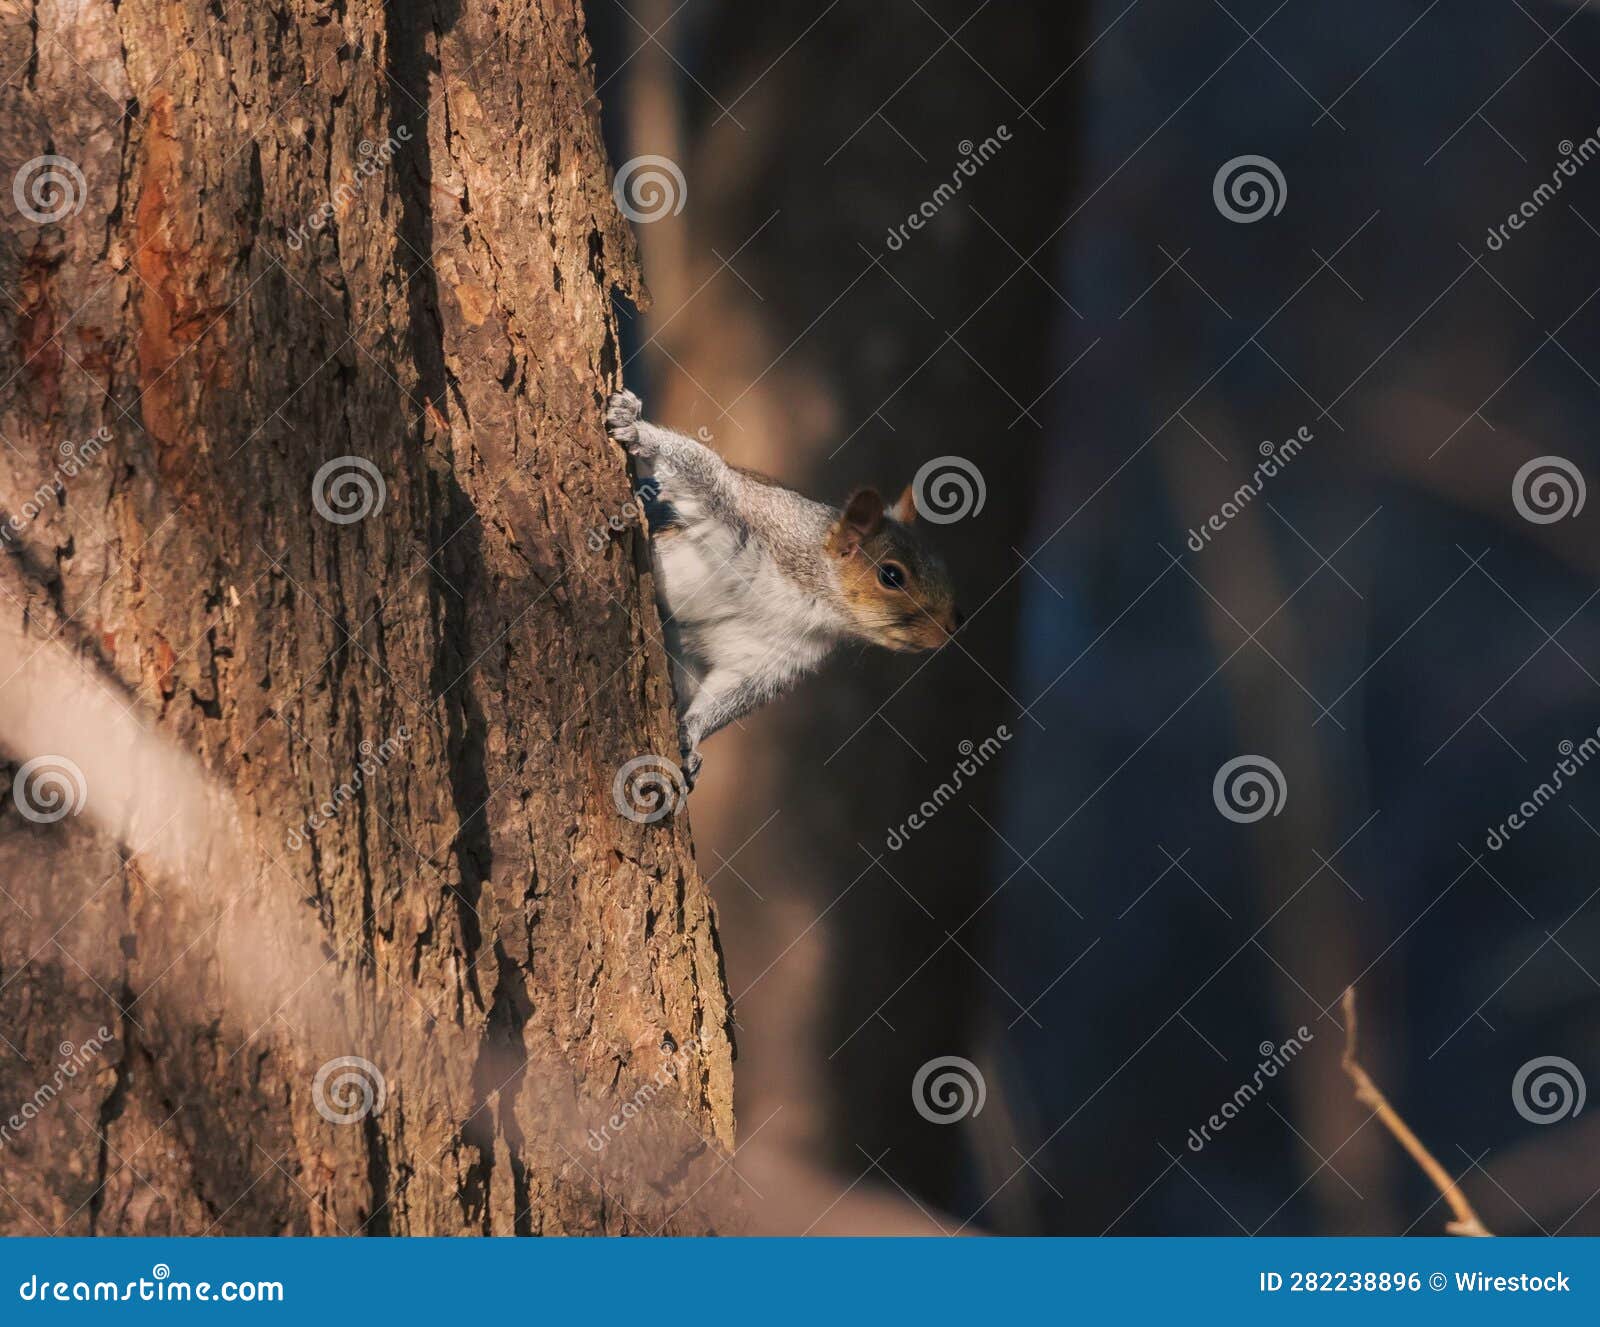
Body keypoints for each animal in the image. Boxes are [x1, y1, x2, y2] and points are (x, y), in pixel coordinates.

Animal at [605, 390, 964, 786]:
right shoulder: (748, 514)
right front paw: (636, 427)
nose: (952, 626)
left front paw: (691, 737)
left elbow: (732, 691)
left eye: (939, 562)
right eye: (892, 576)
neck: (811, 596)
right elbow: (702, 472)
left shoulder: (776, 653)